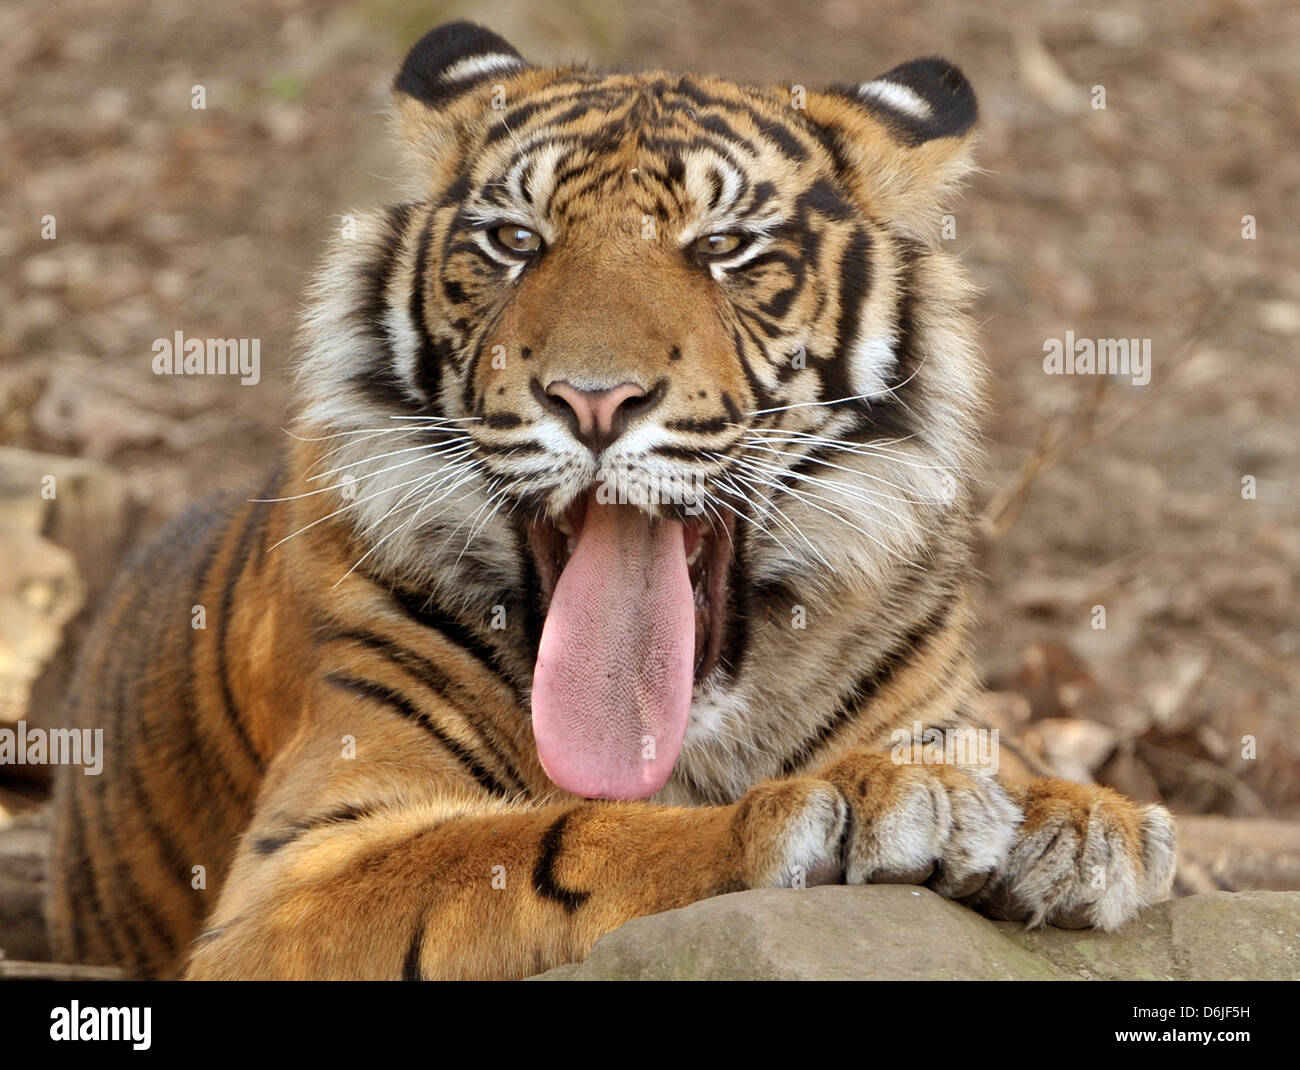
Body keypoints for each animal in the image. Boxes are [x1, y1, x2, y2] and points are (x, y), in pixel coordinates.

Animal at [47, 20, 1176, 980]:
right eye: (514, 241)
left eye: (723, 247)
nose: (594, 400)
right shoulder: (291, 882)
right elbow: (568, 838)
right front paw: (850, 806)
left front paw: (1079, 820)